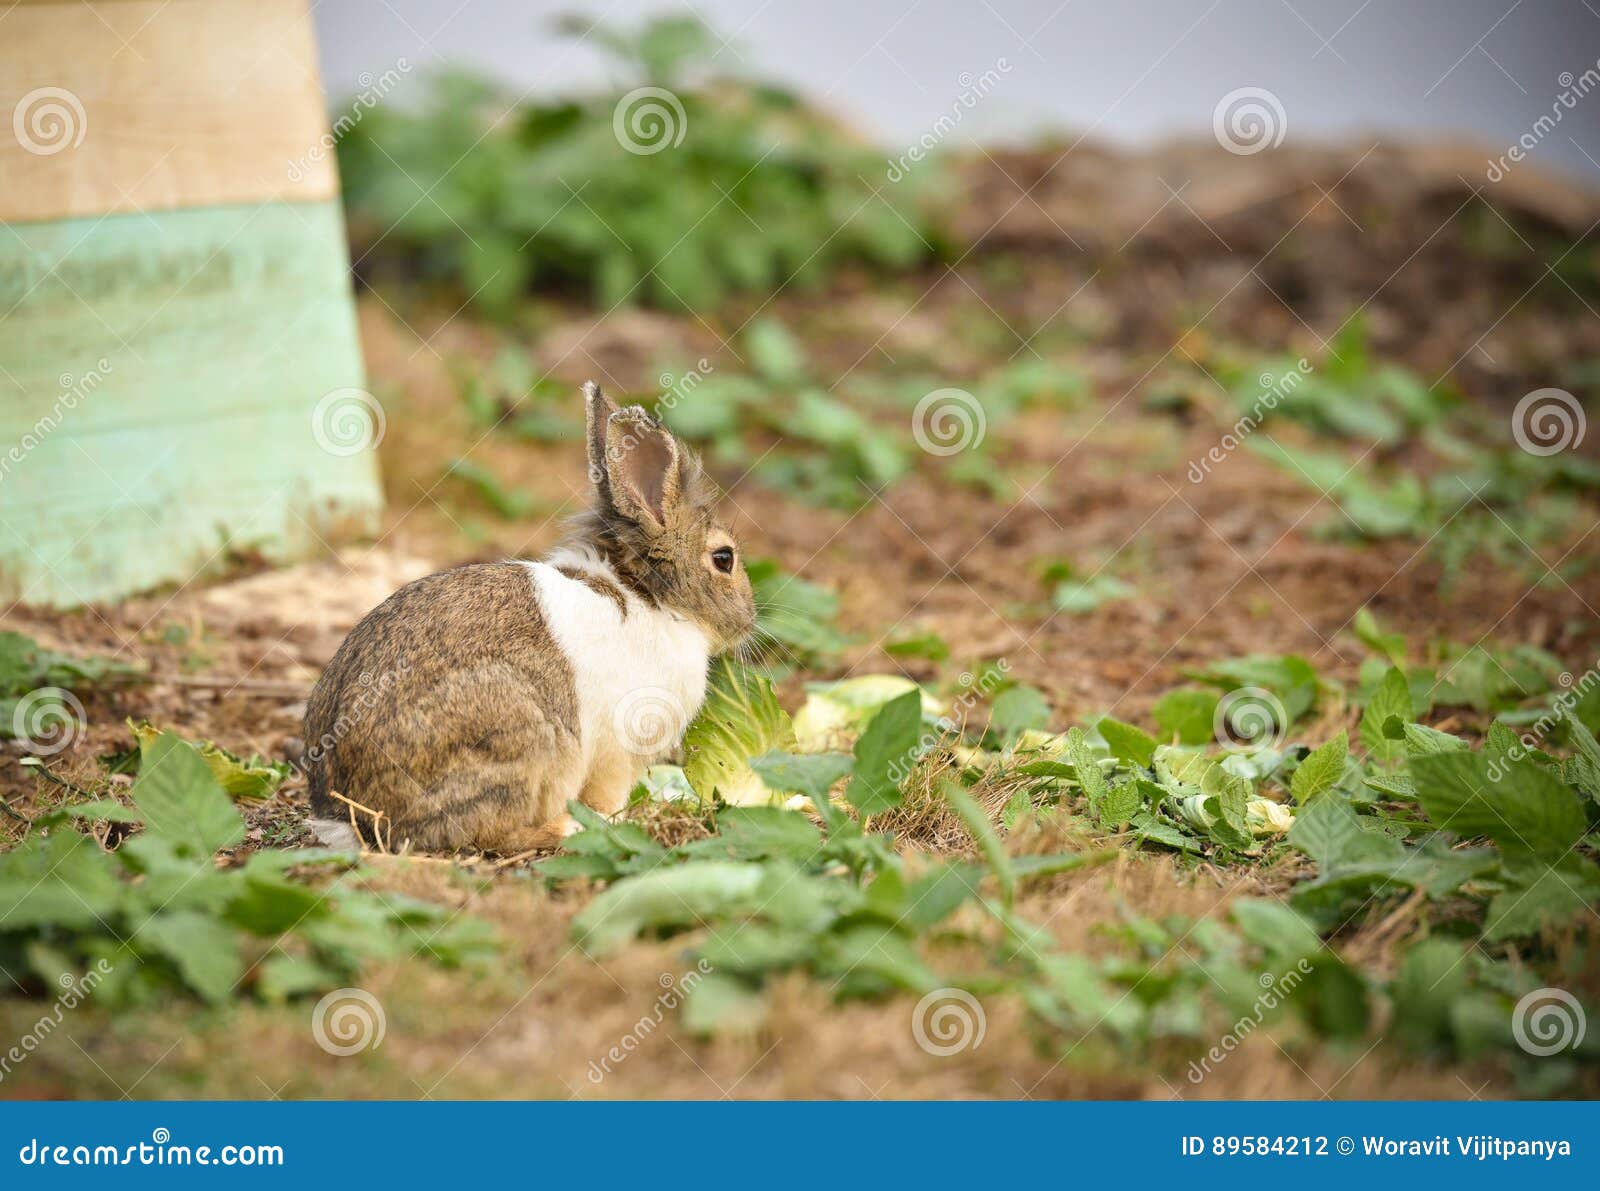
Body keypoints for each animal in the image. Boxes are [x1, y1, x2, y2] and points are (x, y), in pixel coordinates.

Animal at [302, 382, 756, 854]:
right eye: (724, 559)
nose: (749, 619)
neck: (652, 598)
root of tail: (348, 813)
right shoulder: (618, 752)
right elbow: (608, 795)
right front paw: (619, 820)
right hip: (521, 739)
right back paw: (568, 828)